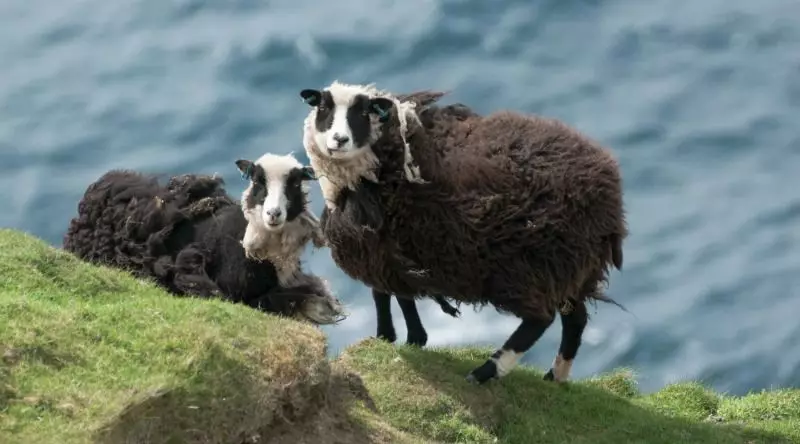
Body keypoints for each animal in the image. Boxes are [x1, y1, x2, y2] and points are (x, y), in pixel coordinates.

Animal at [296, 81, 628, 384]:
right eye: (324, 108)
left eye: (363, 112)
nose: (339, 140)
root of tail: (606, 189)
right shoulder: (394, 255)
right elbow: (397, 294)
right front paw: (412, 337)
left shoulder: (381, 251)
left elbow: (383, 294)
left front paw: (389, 336)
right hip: (568, 265)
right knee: (576, 317)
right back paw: (555, 376)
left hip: (525, 266)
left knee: (540, 319)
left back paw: (487, 370)